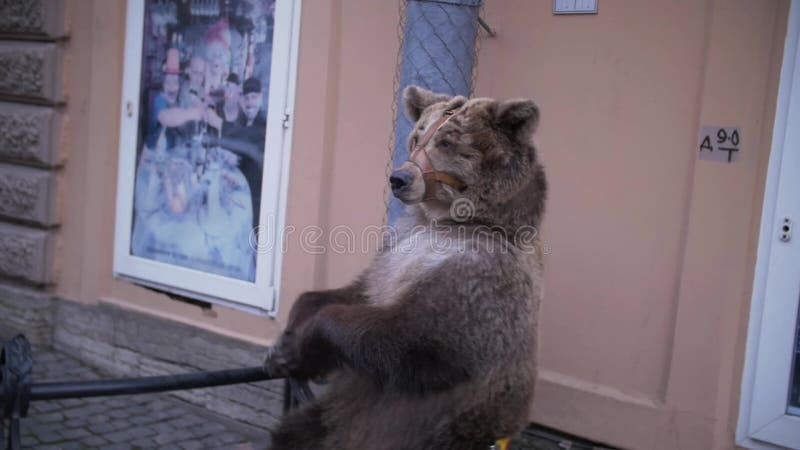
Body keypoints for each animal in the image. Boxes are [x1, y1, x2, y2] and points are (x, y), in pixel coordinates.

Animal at [263, 85, 547, 450]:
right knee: (297, 431)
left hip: (422, 432)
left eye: (447, 141)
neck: (445, 222)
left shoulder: (479, 279)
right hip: (337, 414)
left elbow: (417, 334)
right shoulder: (395, 248)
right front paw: (284, 342)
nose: (399, 178)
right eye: (418, 135)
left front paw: (299, 348)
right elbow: (355, 291)